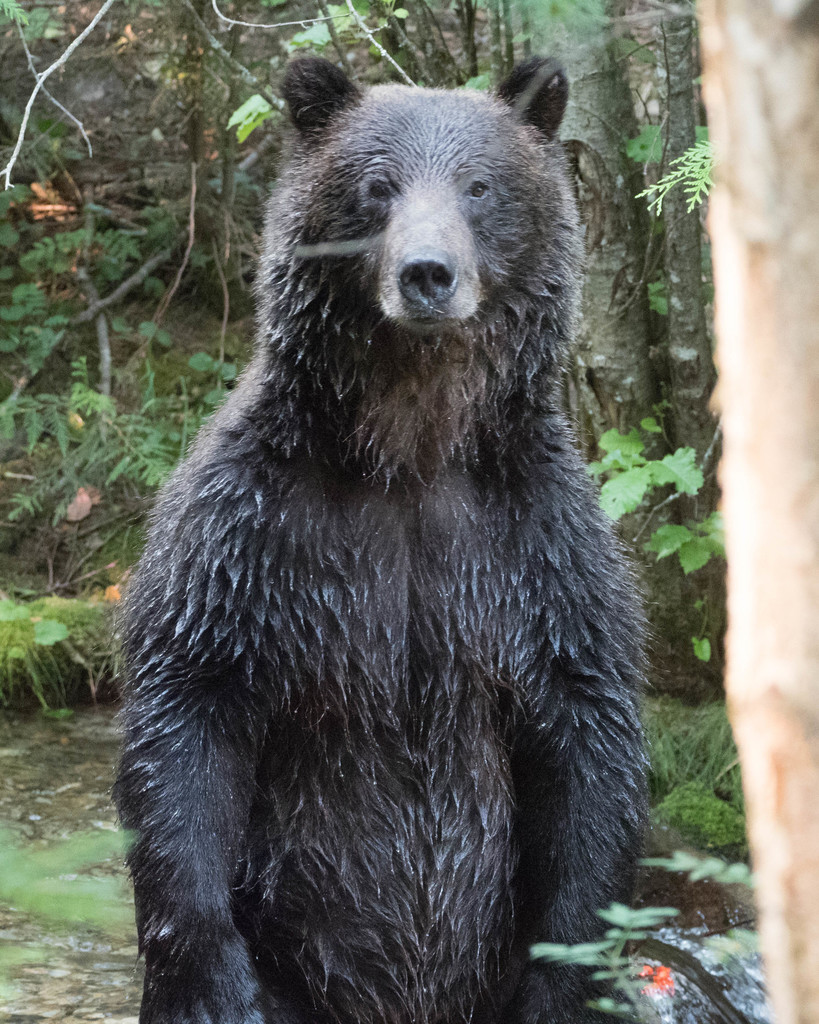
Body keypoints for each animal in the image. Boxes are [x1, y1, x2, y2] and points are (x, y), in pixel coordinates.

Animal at [115, 56, 647, 1024]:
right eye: (376, 186)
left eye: (479, 185)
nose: (427, 273)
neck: (408, 448)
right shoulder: (252, 534)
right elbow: (190, 712)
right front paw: (208, 983)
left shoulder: (535, 550)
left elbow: (586, 737)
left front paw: (563, 977)